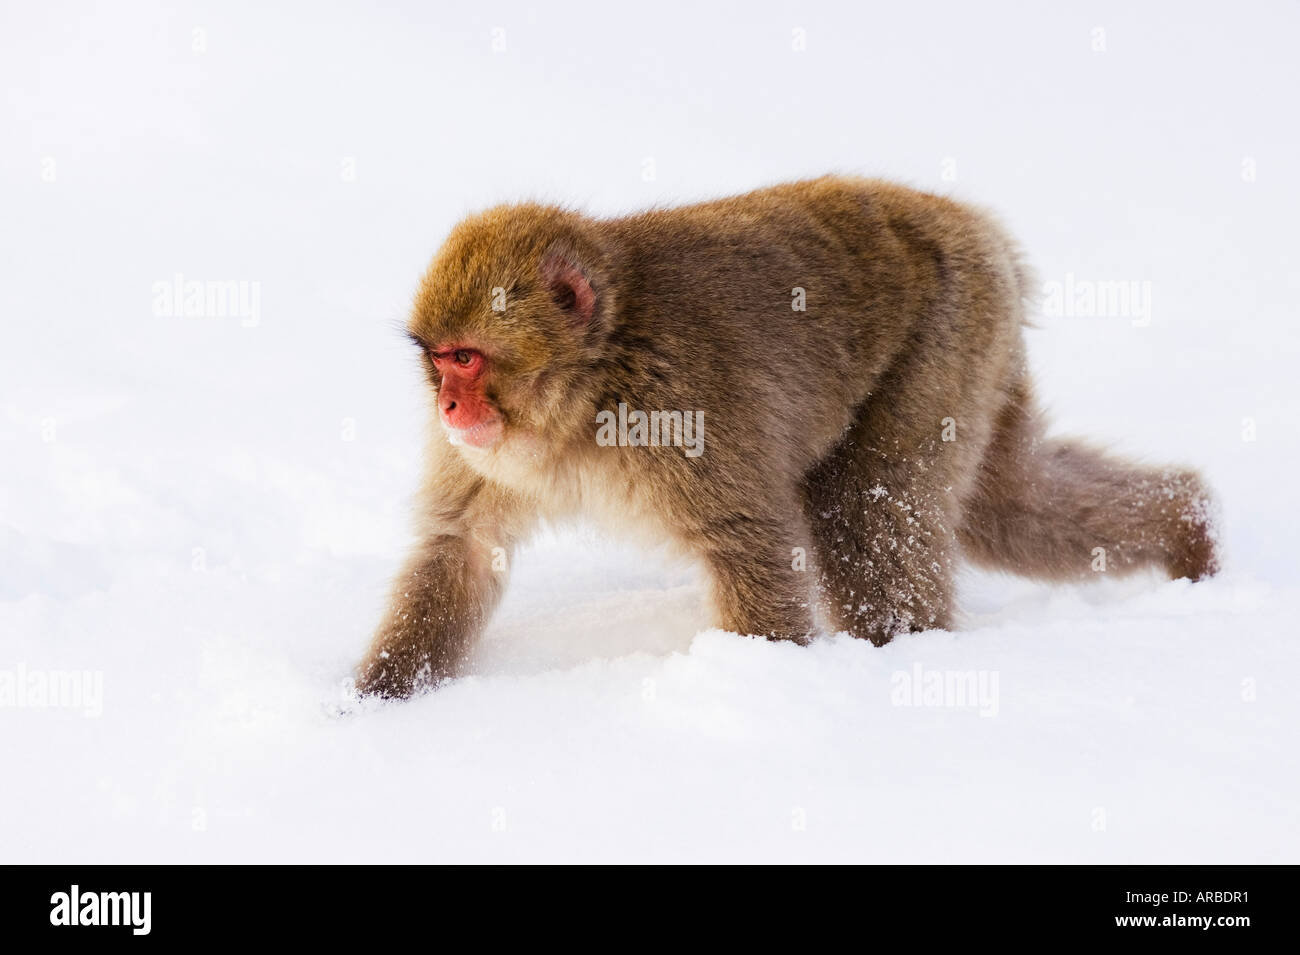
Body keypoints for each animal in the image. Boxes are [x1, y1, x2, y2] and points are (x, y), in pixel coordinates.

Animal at [354, 175, 1219, 699]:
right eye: (438, 359)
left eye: (469, 357)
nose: (450, 407)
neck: (591, 384)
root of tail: (972, 223)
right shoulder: (485, 458)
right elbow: (461, 548)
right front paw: (372, 704)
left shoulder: (682, 409)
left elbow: (750, 544)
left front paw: (759, 684)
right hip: (985, 351)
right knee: (1006, 502)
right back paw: (1187, 524)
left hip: (949, 331)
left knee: (870, 510)